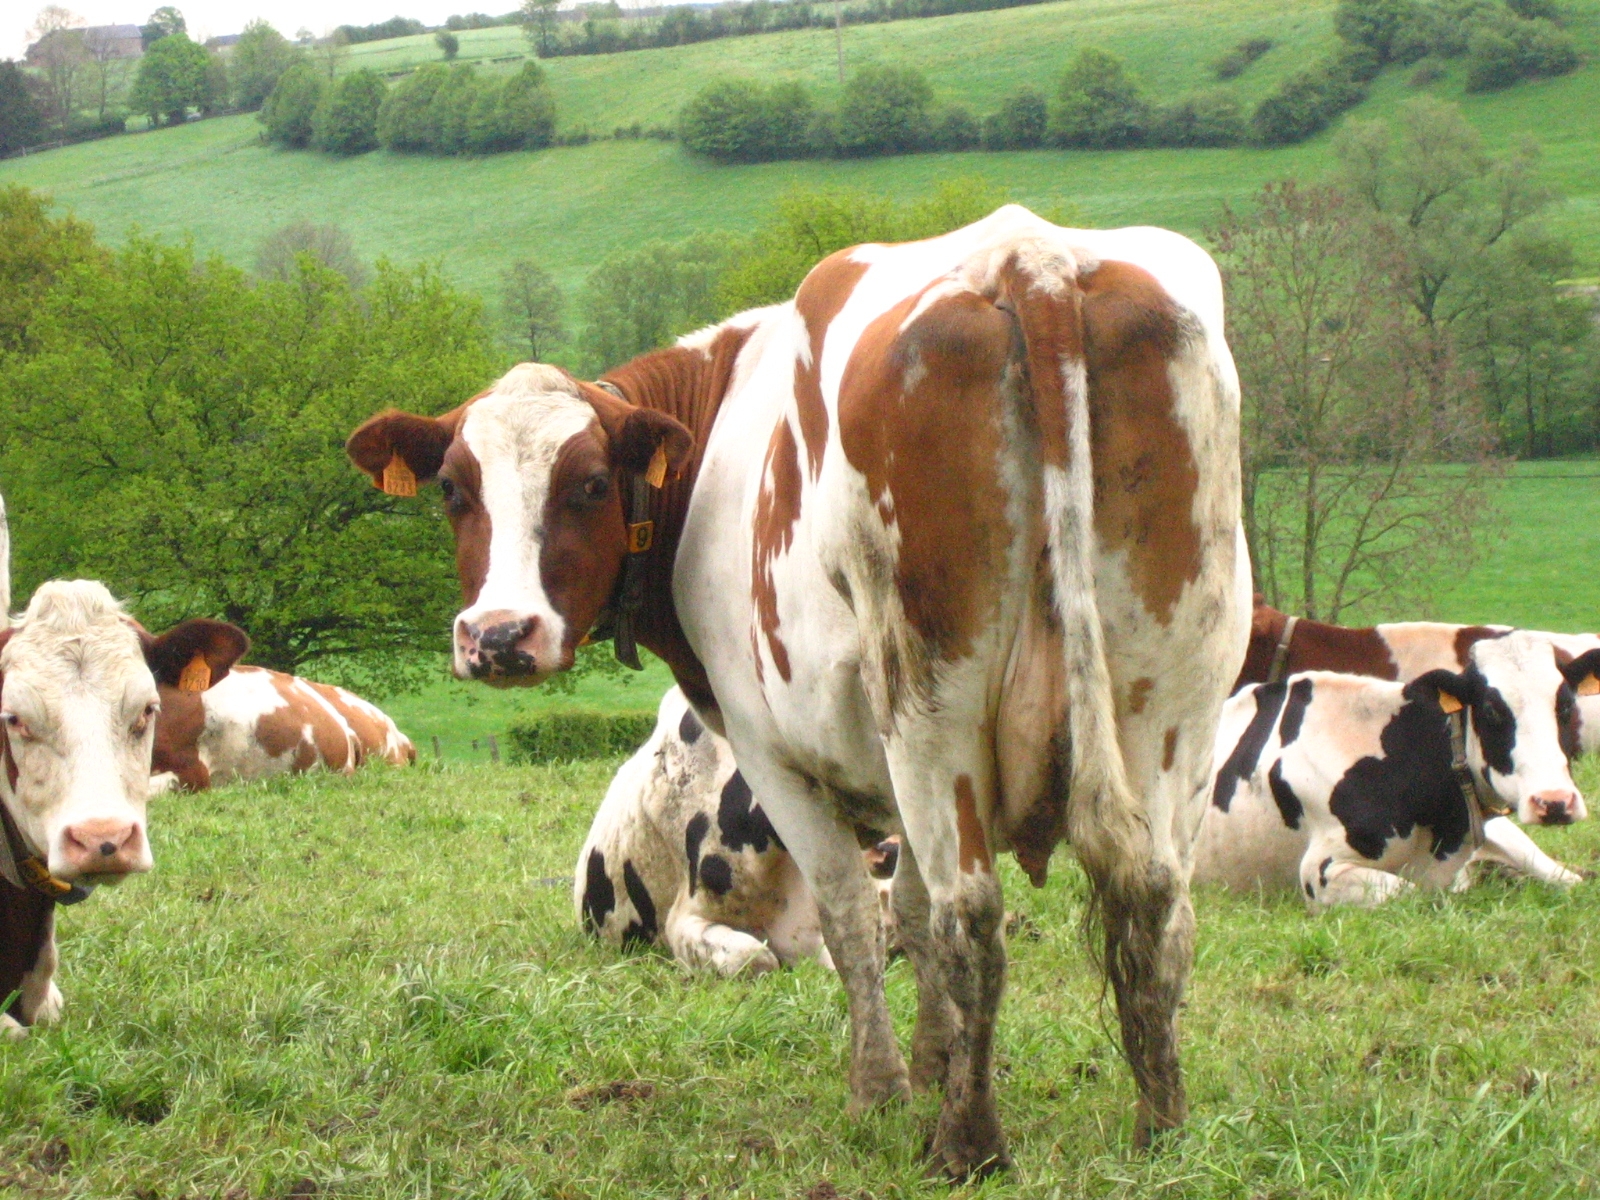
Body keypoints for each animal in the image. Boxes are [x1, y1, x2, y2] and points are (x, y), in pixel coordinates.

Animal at [1198, 631, 1600, 906]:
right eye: (1491, 709)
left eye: (1565, 705)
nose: (1554, 802)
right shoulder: (1319, 872)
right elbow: (1411, 892)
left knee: (1569, 879)